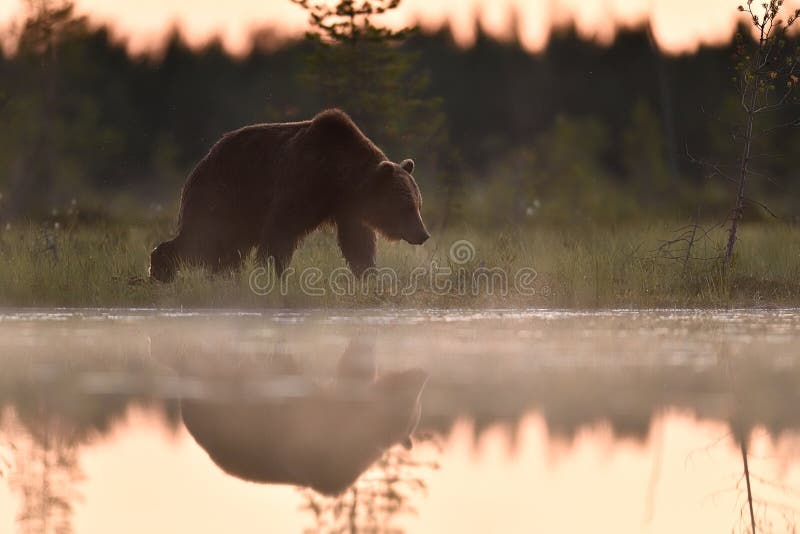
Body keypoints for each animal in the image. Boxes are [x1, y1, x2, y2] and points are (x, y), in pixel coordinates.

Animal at [149, 109, 430, 282]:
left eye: (418, 204)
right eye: (406, 206)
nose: (423, 234)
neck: (338, 179)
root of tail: (200, 163)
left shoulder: (347, 208)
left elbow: (358, 242)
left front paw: (369, 275)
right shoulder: (302, 182)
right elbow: (281, 231)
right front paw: (274, 274)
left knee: (225, 247)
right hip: (223, 195)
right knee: (204, 239)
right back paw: (161, 269)